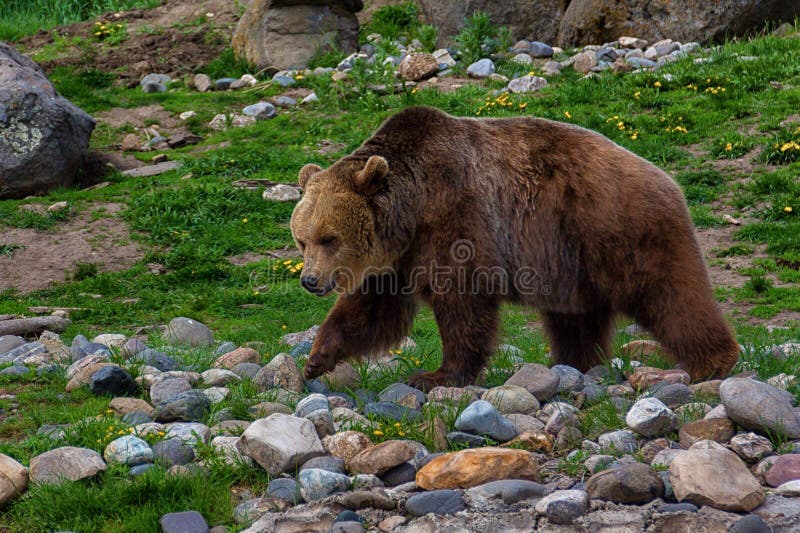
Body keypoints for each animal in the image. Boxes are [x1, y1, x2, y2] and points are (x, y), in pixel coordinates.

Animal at [290, 106, 739, 391]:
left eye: (330, 238)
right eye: (302, 238)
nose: (310, 280)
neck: (412, 209)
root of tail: (667, 178)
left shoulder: (456, 218)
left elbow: (463, 301)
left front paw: (437, 375)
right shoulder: (399, 258)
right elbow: (371, 310)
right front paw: (316, 359)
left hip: (619, 229)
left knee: (671, 295)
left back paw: (712, 361)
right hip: (569, 260)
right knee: (576, 319)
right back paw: (572, 363)